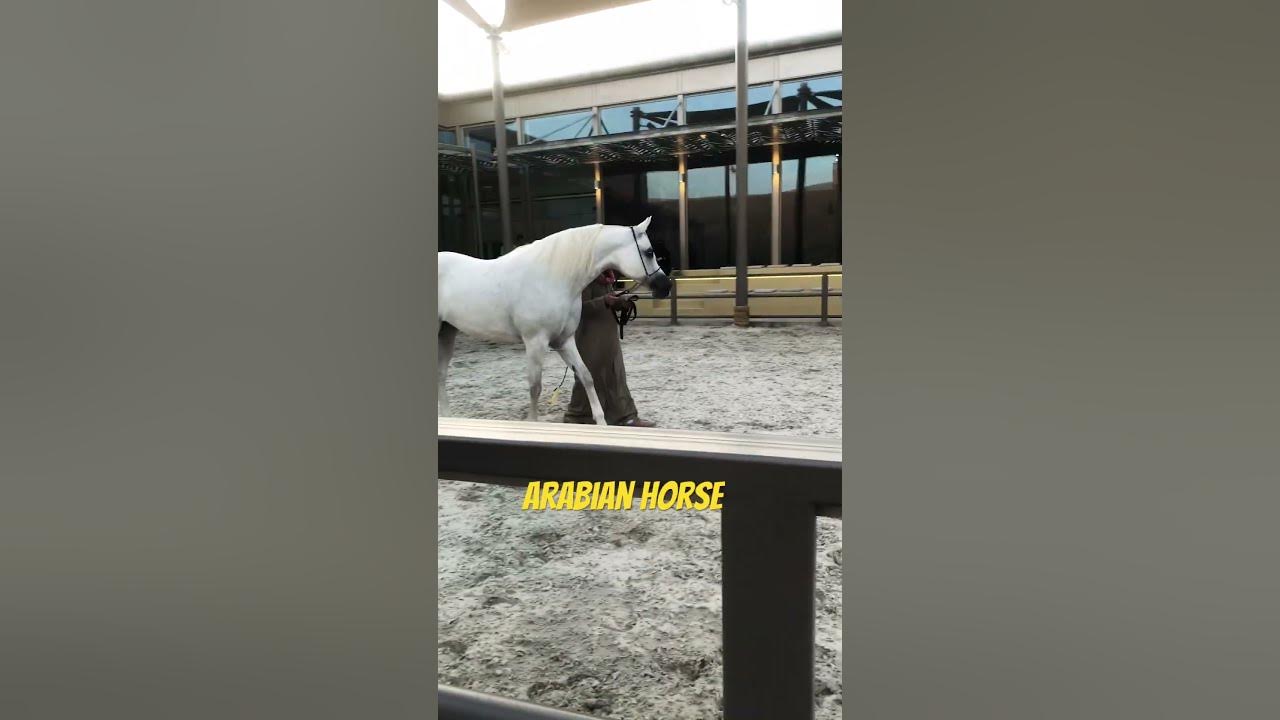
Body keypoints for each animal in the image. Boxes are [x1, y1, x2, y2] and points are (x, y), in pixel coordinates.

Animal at [438, 217, 672, 425]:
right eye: (649, 252)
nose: (666, 286)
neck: (552, 277)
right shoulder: (535, 342)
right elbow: (535, 387)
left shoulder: (564, 340)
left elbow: (586, 375)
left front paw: (602, 424)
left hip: (447, 332)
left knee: (441, 374)